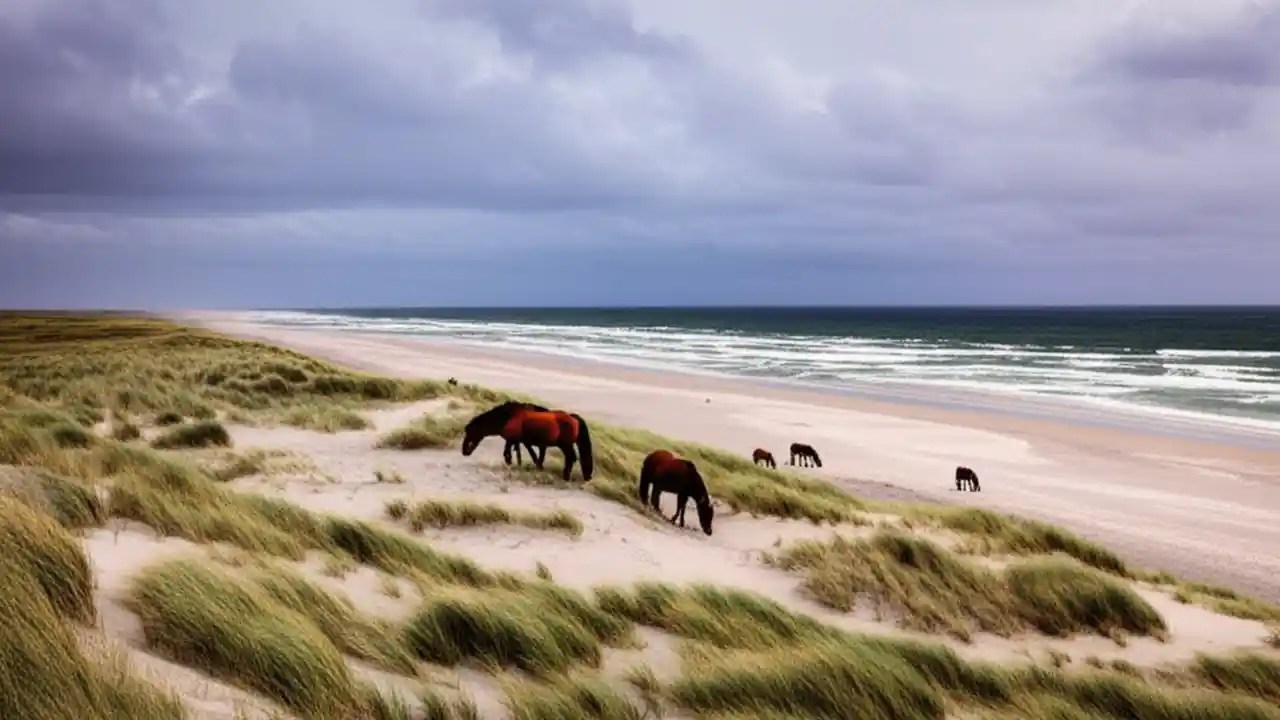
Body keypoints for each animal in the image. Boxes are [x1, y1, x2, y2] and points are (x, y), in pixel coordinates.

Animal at [460, 401, 594, 482]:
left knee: (571, 458)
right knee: (571, 458)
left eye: (470, 433)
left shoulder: (513, 440)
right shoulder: (520, 441)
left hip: (565, 444)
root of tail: (573, 419)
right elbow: (528, 454)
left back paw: (565, 476)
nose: (464, 451)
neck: (507, 418)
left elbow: (509, 454)